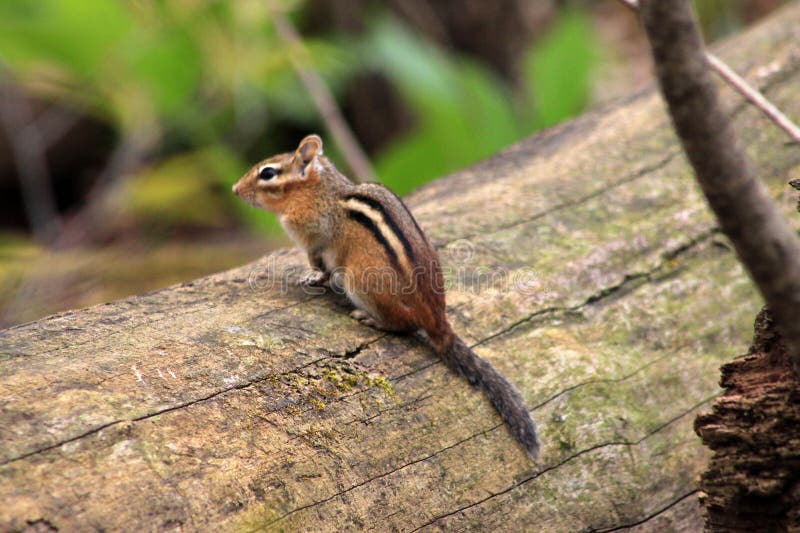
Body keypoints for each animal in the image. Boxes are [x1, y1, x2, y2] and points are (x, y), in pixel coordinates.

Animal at [232, 134, 539, 458]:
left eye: (268, 173)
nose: (235, 189)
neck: (321, 191)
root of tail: (437, 319)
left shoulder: (316, 240)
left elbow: (321, 267)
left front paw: (310, 278)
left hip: (360, 281)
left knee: (402, 326)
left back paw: (371, 319)